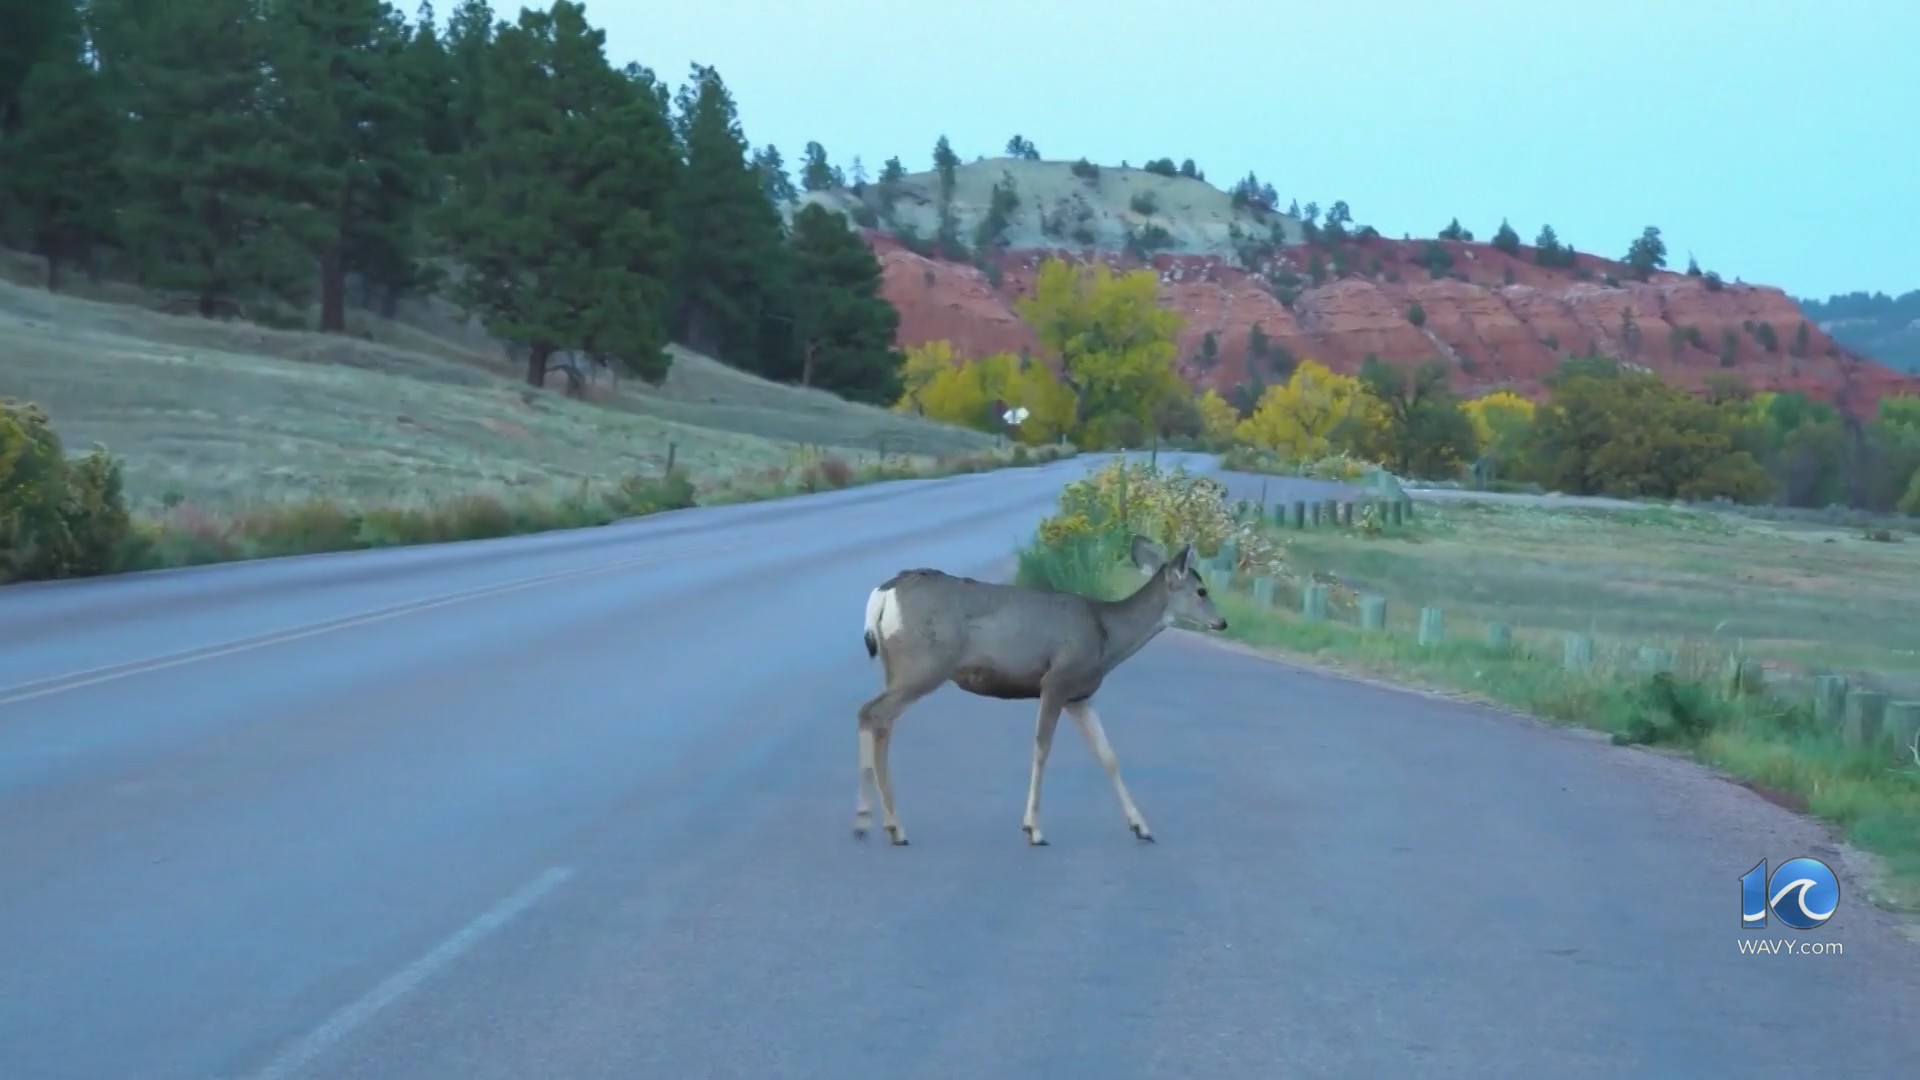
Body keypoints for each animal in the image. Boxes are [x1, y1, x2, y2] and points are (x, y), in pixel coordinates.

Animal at [855, 534, 1228, 847]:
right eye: (1201, 590)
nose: (1222, 622)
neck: (1106, 637)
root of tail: (884, 593)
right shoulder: (1057, 680)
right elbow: (1042, 749)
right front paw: (1033, 829)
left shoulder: (1080, 696)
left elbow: (1107, 755)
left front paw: (1141, 827)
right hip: (925, 664)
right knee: (875, 713)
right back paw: (888, 826)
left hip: (896, 668)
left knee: (874, 718)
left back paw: (874, 822)